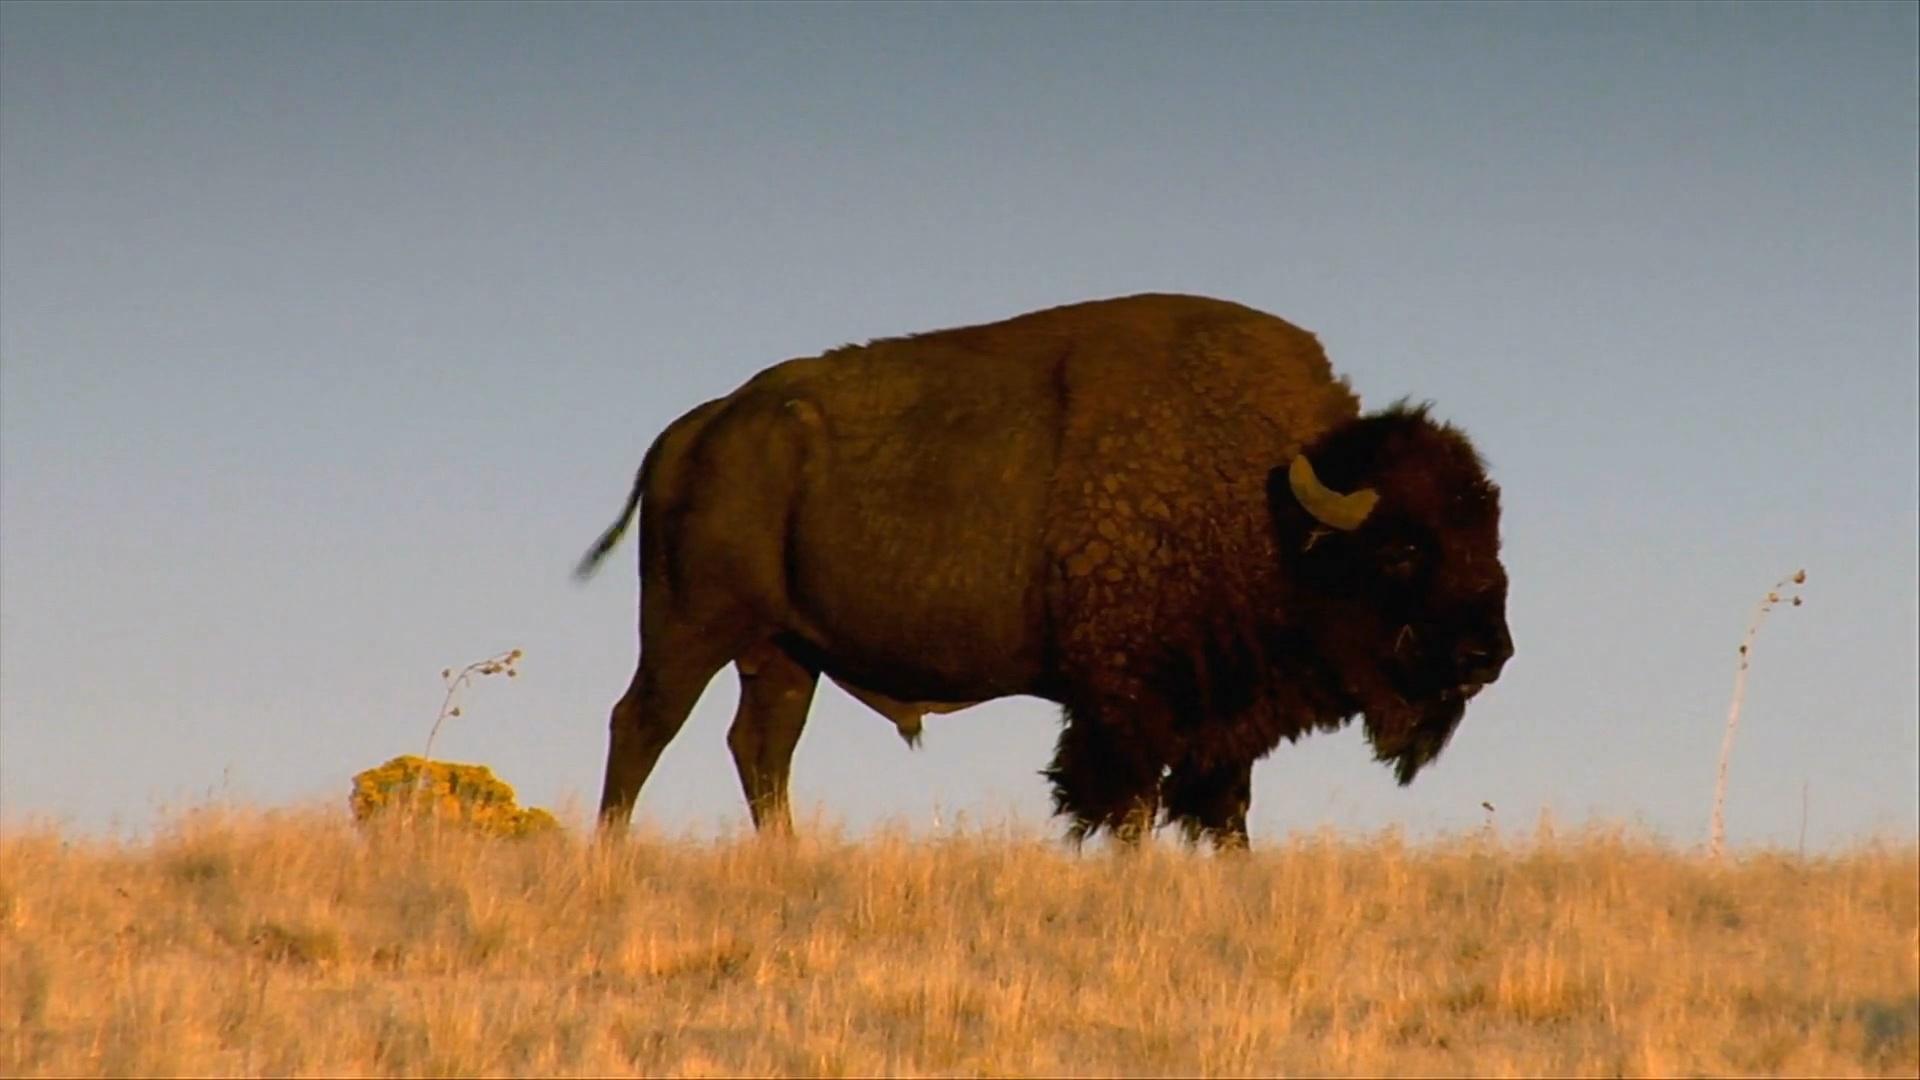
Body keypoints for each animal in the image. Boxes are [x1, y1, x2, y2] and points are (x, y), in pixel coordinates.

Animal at [576, 293, 1512, 847]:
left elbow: (1224, 807)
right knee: (642, 725)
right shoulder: (1125, 707)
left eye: (1487, 534)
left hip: (782, 653)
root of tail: (695, 428)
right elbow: (1127, 803)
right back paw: (612, 852)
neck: (1270, 501)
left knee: (761, 747)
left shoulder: (1220, 721)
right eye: (1403, 548)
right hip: (689, 627)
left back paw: (787, 857)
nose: (1488, 654)